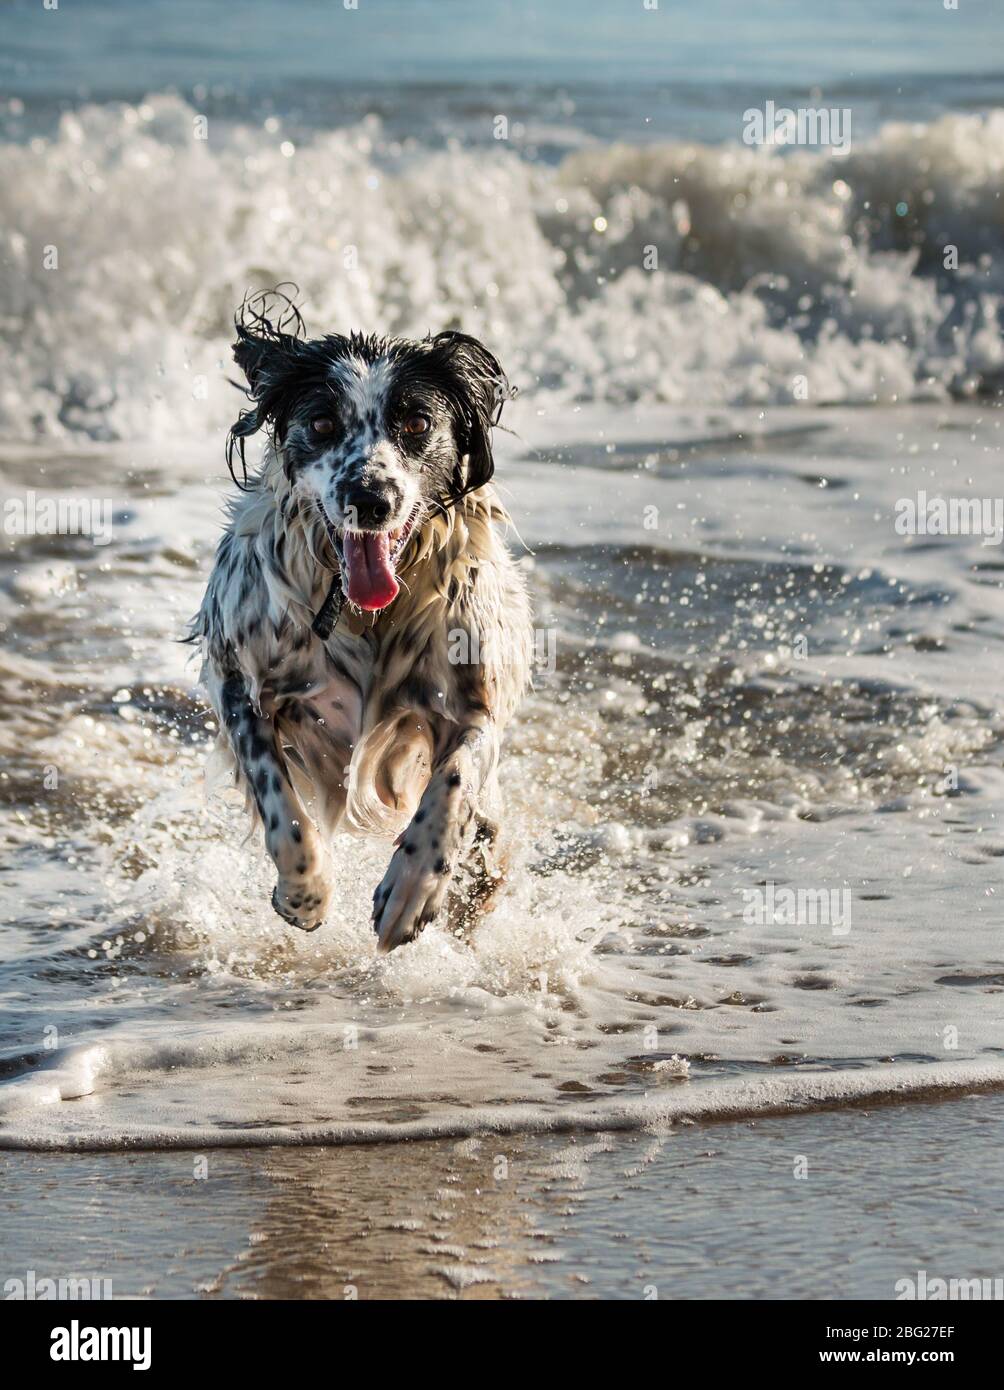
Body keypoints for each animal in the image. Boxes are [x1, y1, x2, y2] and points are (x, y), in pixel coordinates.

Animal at [189, 294, 531, 956]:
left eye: (416, 424)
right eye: (322, 424)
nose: (370, 498)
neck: (364, 613)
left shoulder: (476, 700)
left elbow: (455, 782)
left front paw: (412, 891)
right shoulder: (236, 678)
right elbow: (280, 803)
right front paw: (306, 892)